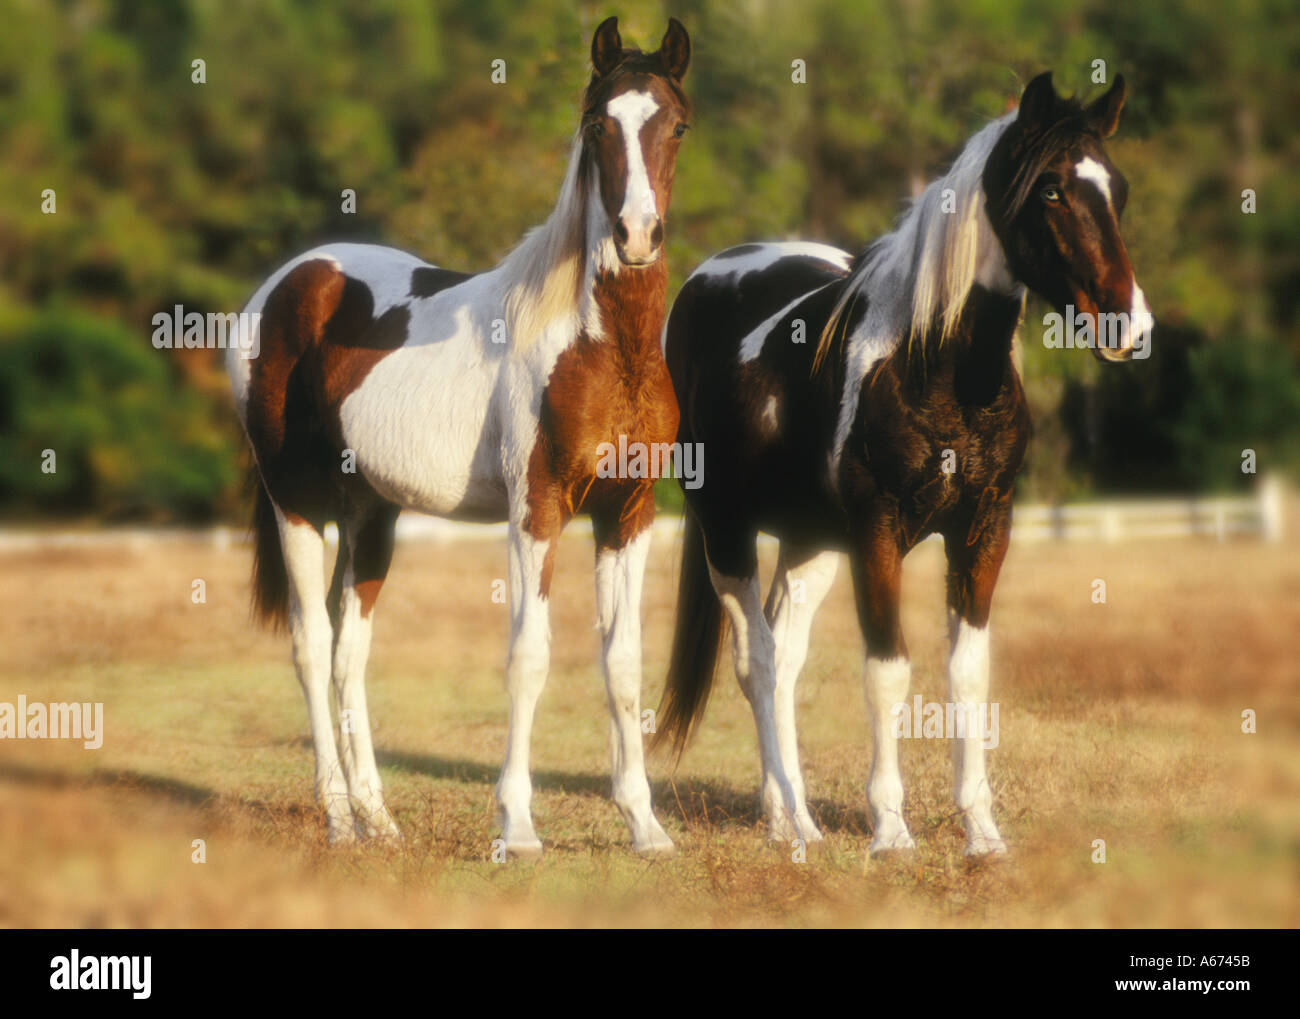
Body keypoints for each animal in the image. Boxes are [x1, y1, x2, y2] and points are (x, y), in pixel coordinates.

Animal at [227, 17, 691, 856]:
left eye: (674, 125)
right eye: (598, 126)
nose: (637, 236)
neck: (601, 345)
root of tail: (284, 285)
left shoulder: (629, 511)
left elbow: (624, 662)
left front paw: (645, 824)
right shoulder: (536, 508)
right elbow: (529, 655)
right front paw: (518, 825)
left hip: (370, 514)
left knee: (349, 653)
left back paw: (379, 818)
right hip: (296, 502)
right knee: (311, 645)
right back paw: (338, 816)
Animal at [654, 72, 1153, 856]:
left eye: (1118, 189)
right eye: (1049, 190)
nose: (1130, 326)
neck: (936, 362)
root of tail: (708, 277)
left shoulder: (984, 529)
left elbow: (968, 672)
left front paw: (982, 831)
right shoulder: (878, 533)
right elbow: (887, 672)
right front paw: (890, 829)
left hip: (811, 543)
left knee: (784, 658)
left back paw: (795, 814)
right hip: (725, 530)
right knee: (756, 663)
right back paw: (788, 823)